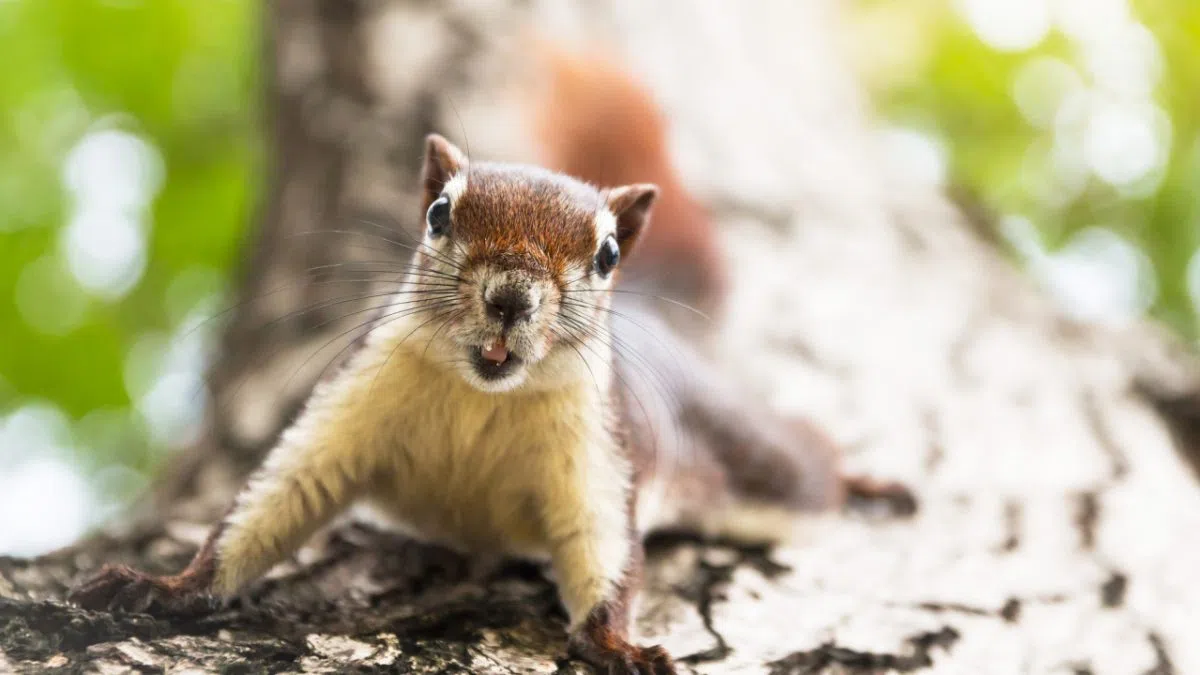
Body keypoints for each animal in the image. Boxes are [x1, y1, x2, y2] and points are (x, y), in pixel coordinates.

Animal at [69, 45, 914, 675]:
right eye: (440, 214)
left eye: (607, 253)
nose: (511, 295)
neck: (482, 395)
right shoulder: (346, 408)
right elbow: (265, 509)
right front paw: (163, 585)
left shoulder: (600, 455)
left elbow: (605, 551)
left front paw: (616, 642)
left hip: (756, 461)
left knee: (807, 460)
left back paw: (866, 481)